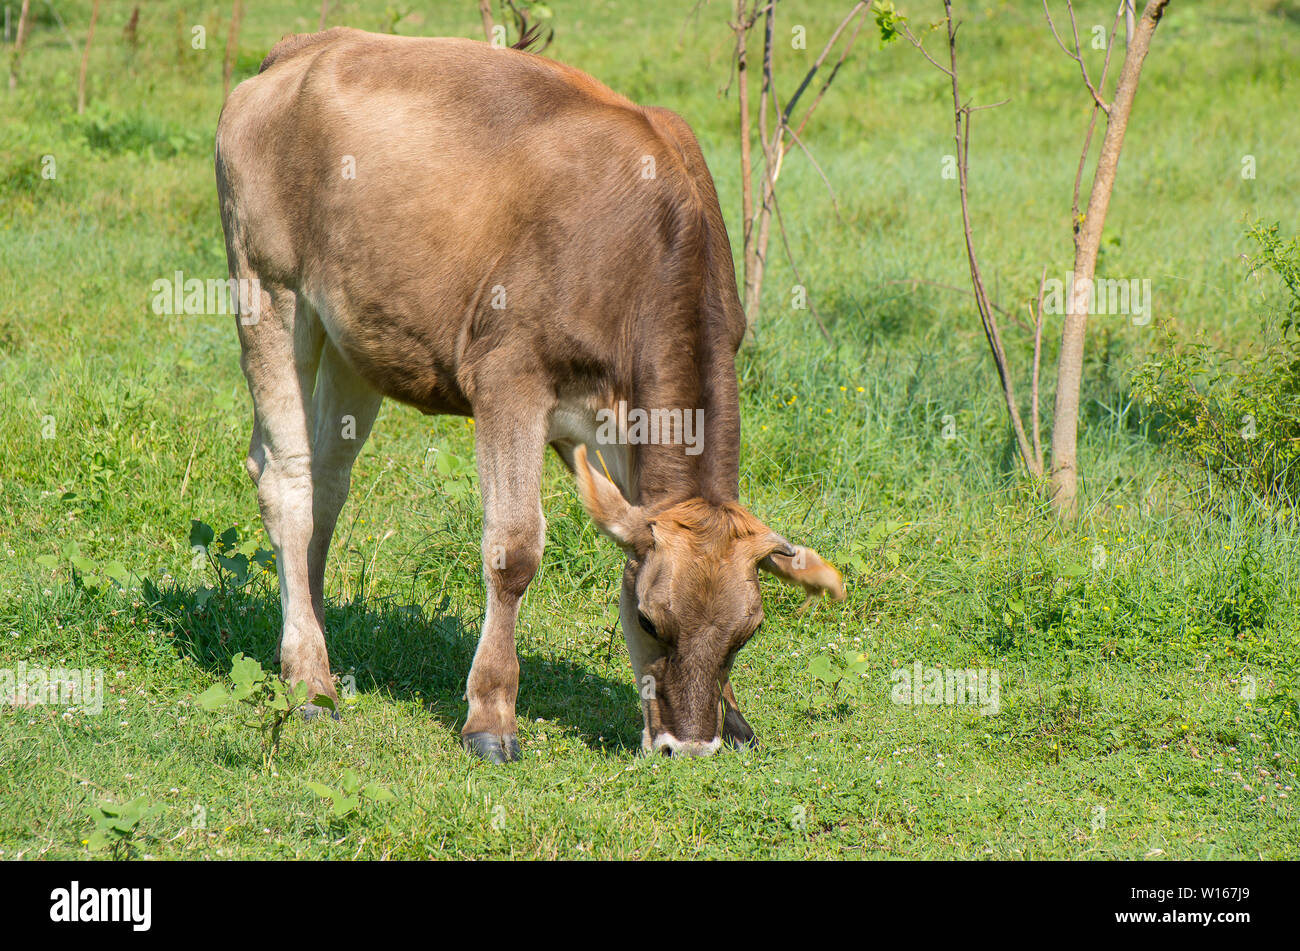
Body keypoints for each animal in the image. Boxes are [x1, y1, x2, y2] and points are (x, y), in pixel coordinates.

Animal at [214, 27, 844, 763]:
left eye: (748, 632)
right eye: (649, 619)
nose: (687, 747)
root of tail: (302, 46)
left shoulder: (620, 421)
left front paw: (735, 720)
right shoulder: (508, 378)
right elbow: (513, 550)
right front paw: (491, 715)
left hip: (355, 338)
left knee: (327, 482)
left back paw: (309, 646)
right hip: (267, 286)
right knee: (285, 478)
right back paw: (310, 683)